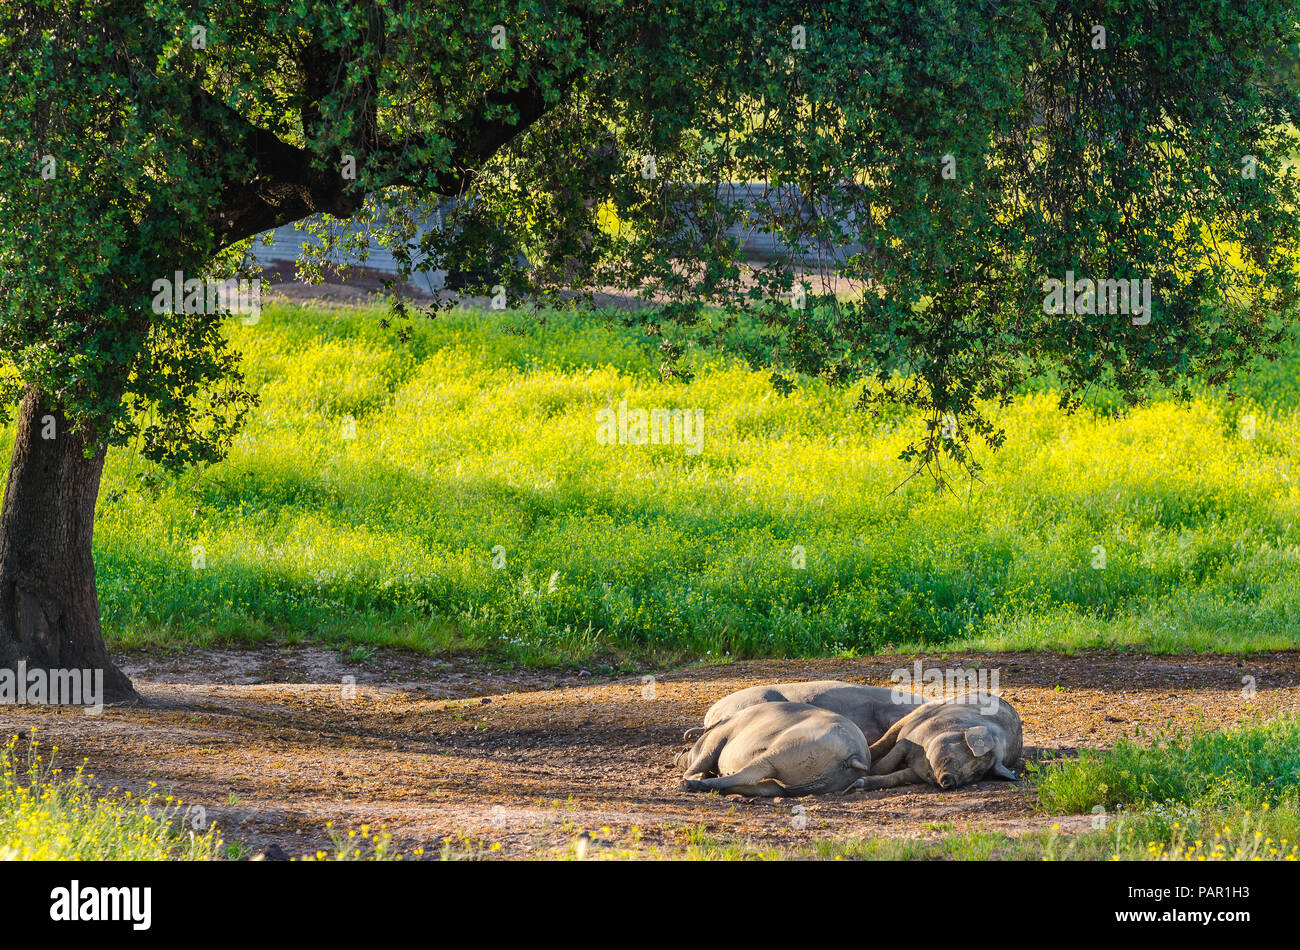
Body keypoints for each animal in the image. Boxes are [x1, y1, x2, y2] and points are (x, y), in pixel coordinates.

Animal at [677, 701, 874, 797]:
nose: (680, 753)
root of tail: (855, 755)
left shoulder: (717, 739)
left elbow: (703, 758)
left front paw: (693, 776)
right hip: (800, 781)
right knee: (768, 788)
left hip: (788, 748)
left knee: (751, 773)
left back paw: (691, 784)